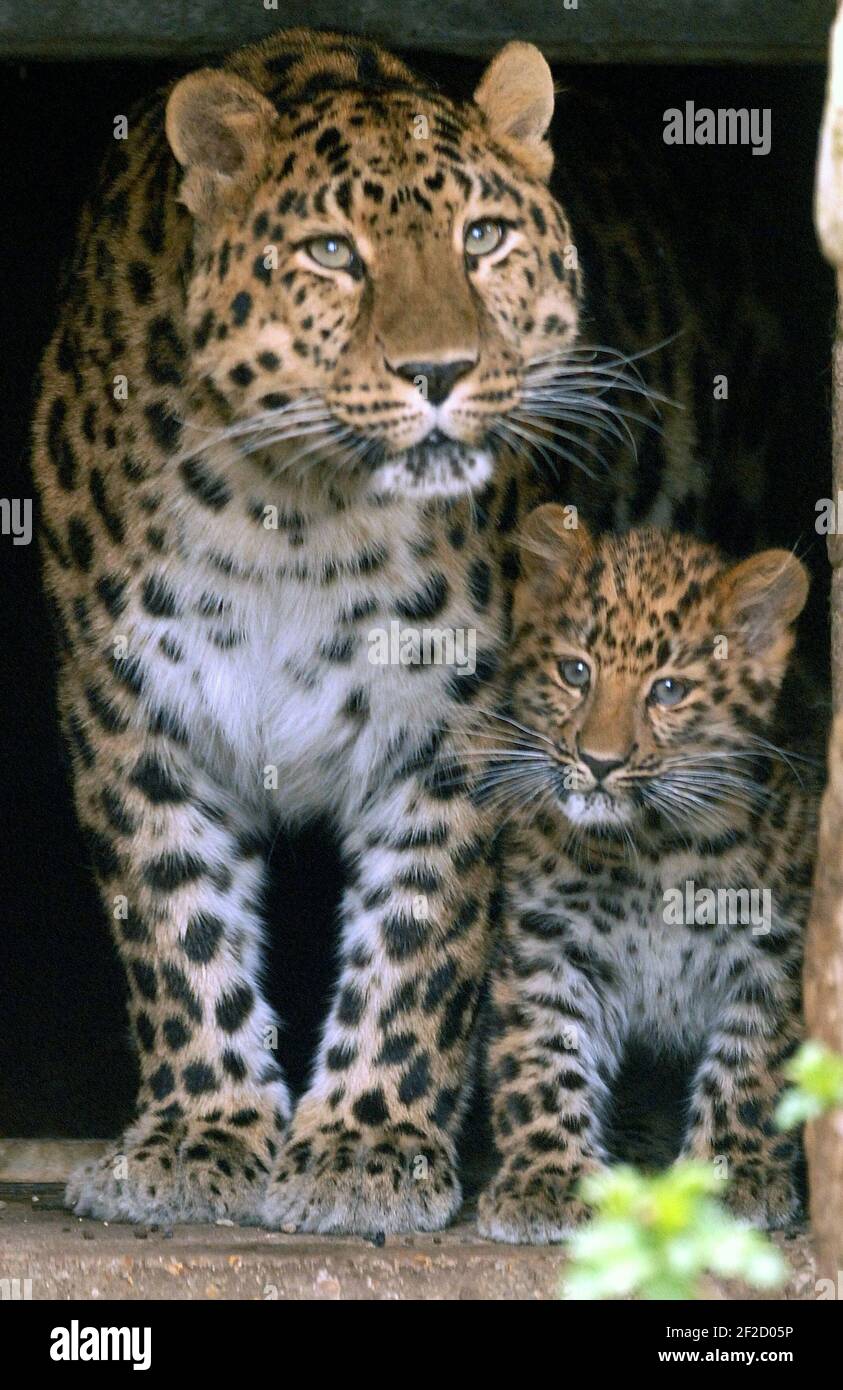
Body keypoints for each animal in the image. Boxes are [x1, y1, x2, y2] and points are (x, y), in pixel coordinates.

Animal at [31, 26, 746, 1234]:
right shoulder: (130, 711)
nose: (439, 372)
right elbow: (178, 924)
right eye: (331, 252)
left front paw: (365, 1146)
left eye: (484, 236)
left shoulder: (456, 726)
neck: (290, 511)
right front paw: (196, 1135)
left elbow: (419, 941)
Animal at [477, 504, 818, 1243]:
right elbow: (543, 1054)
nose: (599, 761)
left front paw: (731, 1176)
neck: (653, 849)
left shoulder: (774, 950)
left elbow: (750, 1065)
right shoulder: (550, 943)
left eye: (668, 689)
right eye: (575, 672)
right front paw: (546, 1180)